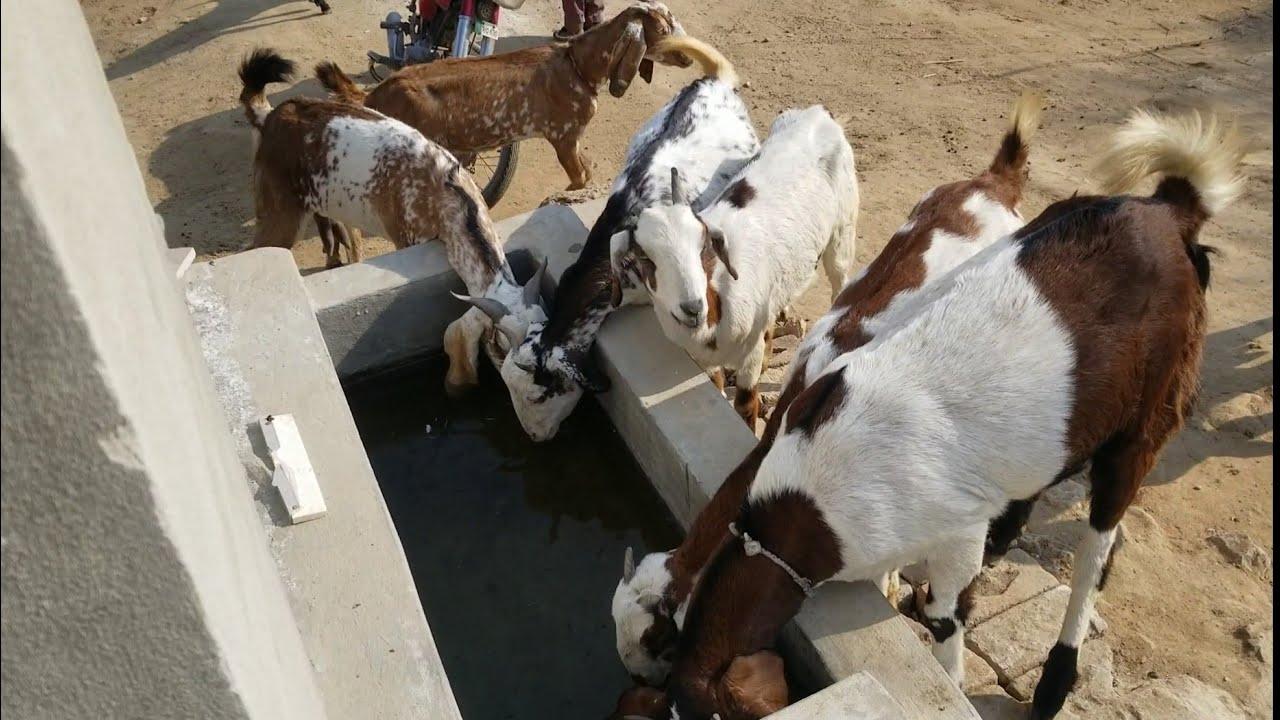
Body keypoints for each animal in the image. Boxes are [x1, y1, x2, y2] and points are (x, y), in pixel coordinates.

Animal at [315, 2, 691, 191]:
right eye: (665, 28)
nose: (688, 56)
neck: (577, 64)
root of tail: (375, 95)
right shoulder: (564, 136)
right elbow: (579, 178)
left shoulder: (572, 140)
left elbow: (587, 171)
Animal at [610, 105, 859, 428]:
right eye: (644, 258)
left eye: (703, 244)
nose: (693, 308)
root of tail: (818, 114)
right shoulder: (702, 362)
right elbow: (717, 389)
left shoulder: (749, 354)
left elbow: (745, 404)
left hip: (842, 232)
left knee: (840, 280)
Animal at [661, 106, 1246, 720]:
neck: (804, 508)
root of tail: (1171, 208)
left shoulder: (953, 528)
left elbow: (945, 614)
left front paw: (954, 681)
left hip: (1151, 410)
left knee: (1099, 541)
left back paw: (1055, 682)